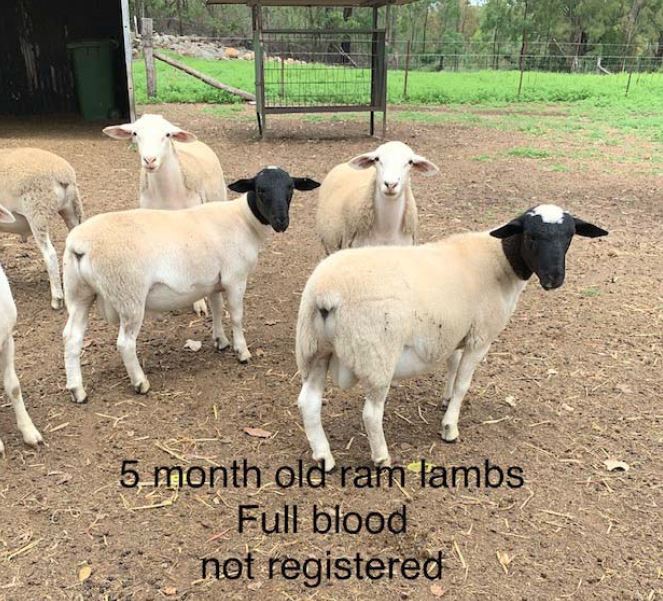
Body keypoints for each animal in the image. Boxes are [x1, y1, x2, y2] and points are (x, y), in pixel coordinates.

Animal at [63, 167, 320, 403]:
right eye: (260, 190)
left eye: (290, 188)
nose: (281, 222)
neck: (244, 222)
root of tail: (80, 245)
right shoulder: (235, 278)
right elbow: (236, 317)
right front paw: (242, 352)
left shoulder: (214, 281)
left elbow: (217, 310)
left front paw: (220, 341)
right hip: (128, 294)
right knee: (125, 343)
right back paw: (140, 383)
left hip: (79, 294)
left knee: (71, 337)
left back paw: (77, 391)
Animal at [296, 204, 608, 470]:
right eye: (531, 235)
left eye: (569, 237)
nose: (554, 279)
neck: (501, 262)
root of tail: (325, 293)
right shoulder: (480, 337)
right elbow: (463, 384)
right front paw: (450, 427)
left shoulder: (459, 330)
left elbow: (452, 366)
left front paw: (445, 401)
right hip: (376, 354)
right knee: (371, 413)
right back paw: (382, 457)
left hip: (313, 349)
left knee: (308, 402)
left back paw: (323, 457)